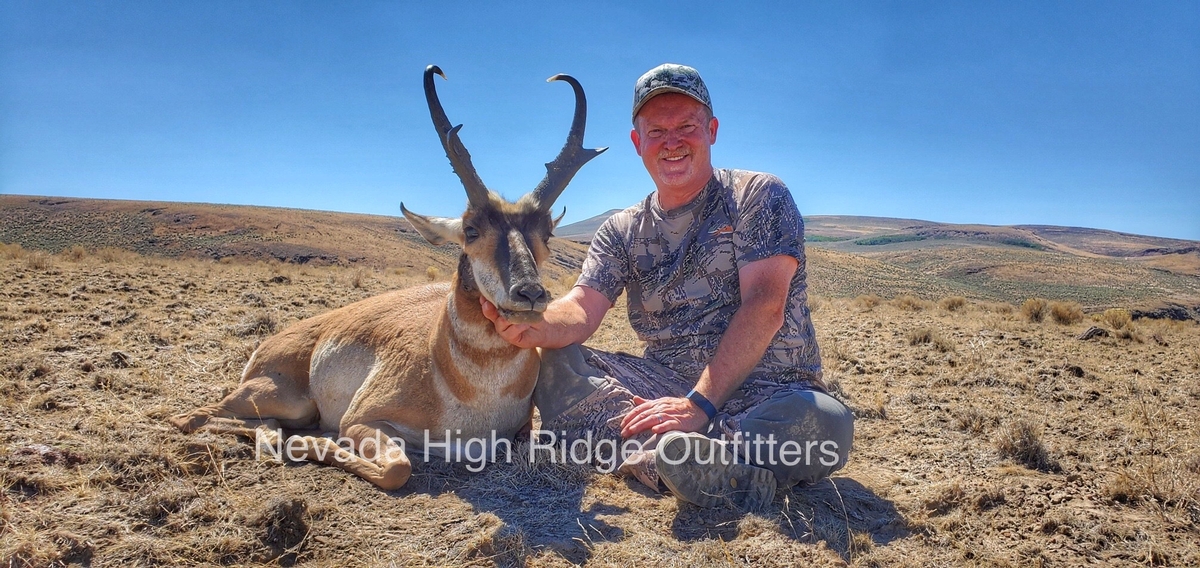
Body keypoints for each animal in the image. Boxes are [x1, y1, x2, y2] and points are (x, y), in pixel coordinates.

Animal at [168, 65, 605, 489]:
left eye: (546, 233)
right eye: (471, 230)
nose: (529, 294)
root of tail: (269, 343)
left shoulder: (519, 430)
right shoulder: (361, 421)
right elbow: (398, 469)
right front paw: (313, 443)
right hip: (282, 397)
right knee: (192, 416)